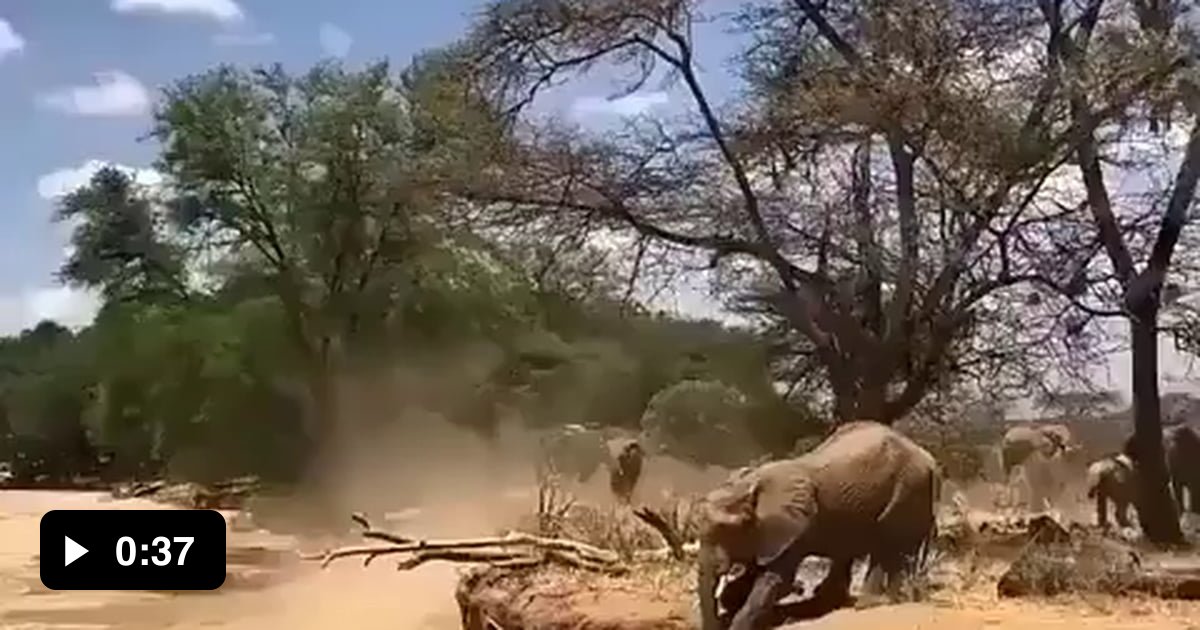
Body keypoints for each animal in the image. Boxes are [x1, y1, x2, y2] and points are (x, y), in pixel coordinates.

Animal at [696, 420, 940, 630]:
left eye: (726, 530)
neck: (749, 486)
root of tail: (931, 462)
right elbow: (751, 577)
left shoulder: (790, 528)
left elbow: (775, 581)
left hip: (908, 488)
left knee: (887, 542)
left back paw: (869, 605)